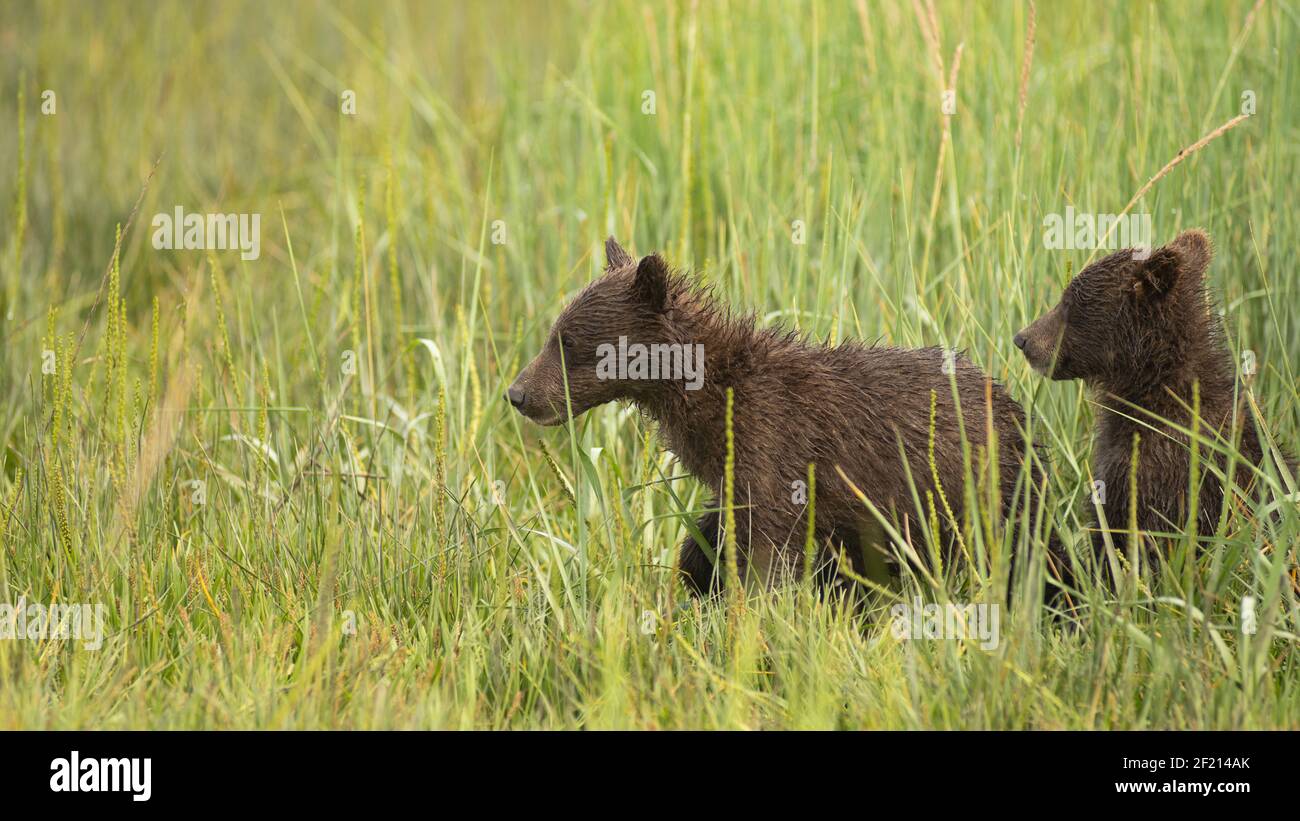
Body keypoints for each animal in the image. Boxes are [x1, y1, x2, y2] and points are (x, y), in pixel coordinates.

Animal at [509, 237, 1058, 595]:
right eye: (553, 333)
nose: (517, 393)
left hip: (982, 489)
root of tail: (1013, 407)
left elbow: (769, 550)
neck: (706, 393)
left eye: (567, 342)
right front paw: (696, 579)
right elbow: (719, 530)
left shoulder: (777, 447)